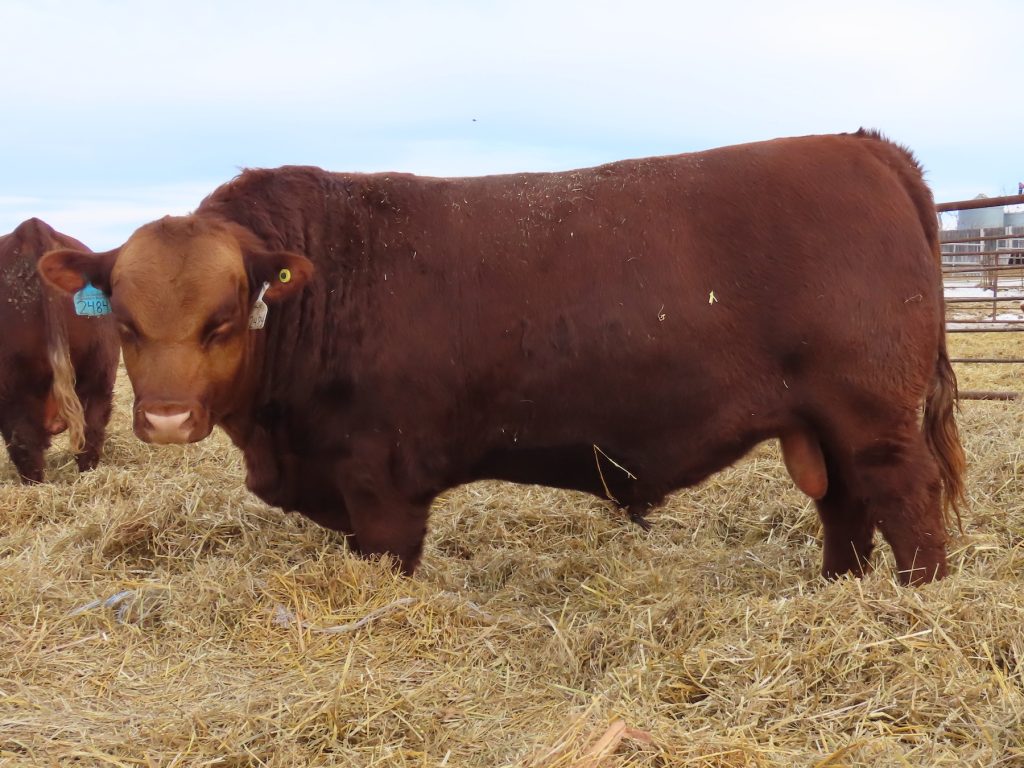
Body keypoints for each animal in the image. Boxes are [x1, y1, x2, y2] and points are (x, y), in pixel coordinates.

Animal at [39, 130, 965, 585]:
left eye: (225, 319)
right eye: (124, 321)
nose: (166, 419)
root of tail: (862, 145)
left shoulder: (380, 484)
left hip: (872, 414)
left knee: (907, 500)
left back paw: (914, 603)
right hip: (823, 423)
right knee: (844, 507)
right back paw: (836, 592)